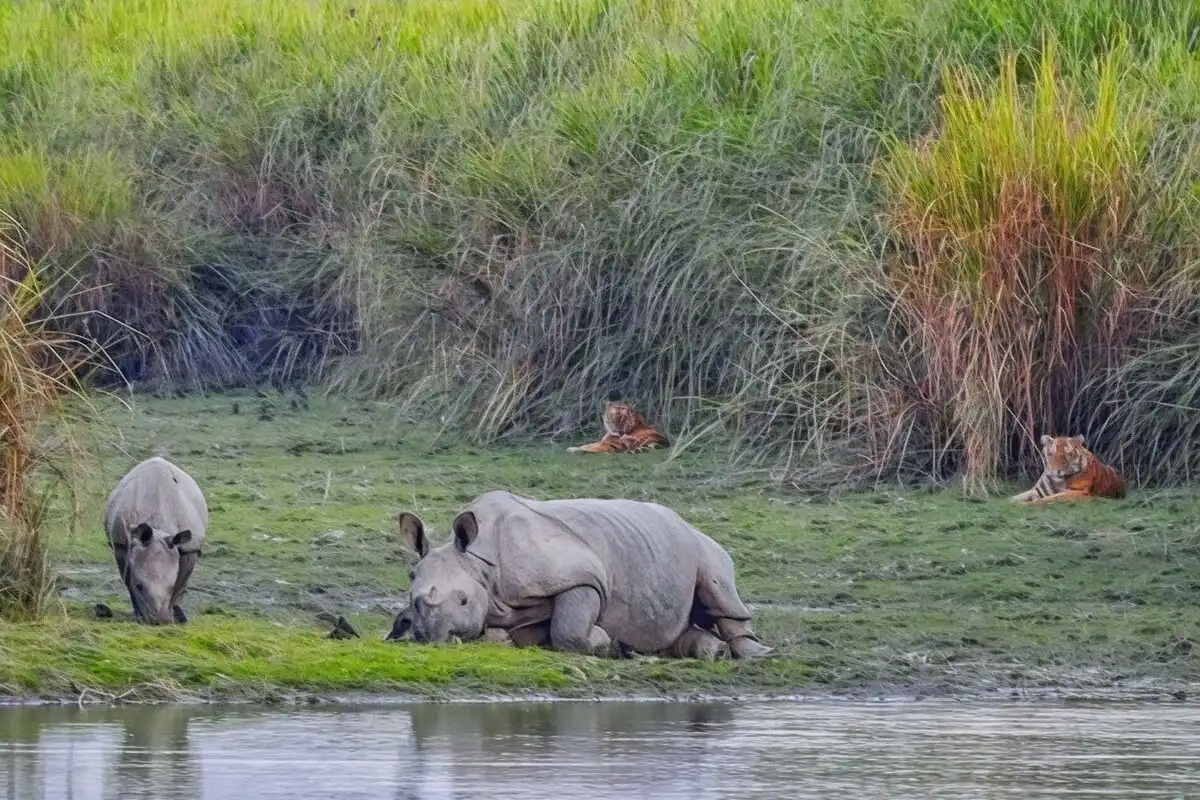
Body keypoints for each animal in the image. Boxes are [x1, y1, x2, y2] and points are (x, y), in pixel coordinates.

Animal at [103, 456, 207, 625]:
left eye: (171, 586)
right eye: (139, 586)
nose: (160, 620)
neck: (158, 528)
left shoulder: (189, 548)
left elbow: (181, 583)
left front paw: (176, 616)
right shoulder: (121, 544)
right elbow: (127, 579)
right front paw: (139, 615)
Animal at [386, 490, 771, 660]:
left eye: (464, 601)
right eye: (413, 599)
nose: (429, 636)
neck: (483, 567)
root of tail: (685, 521)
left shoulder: (584, 577)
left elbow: (569, 630)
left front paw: (602, 641)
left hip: (702, 543)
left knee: (718, 585)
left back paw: (750, 654)